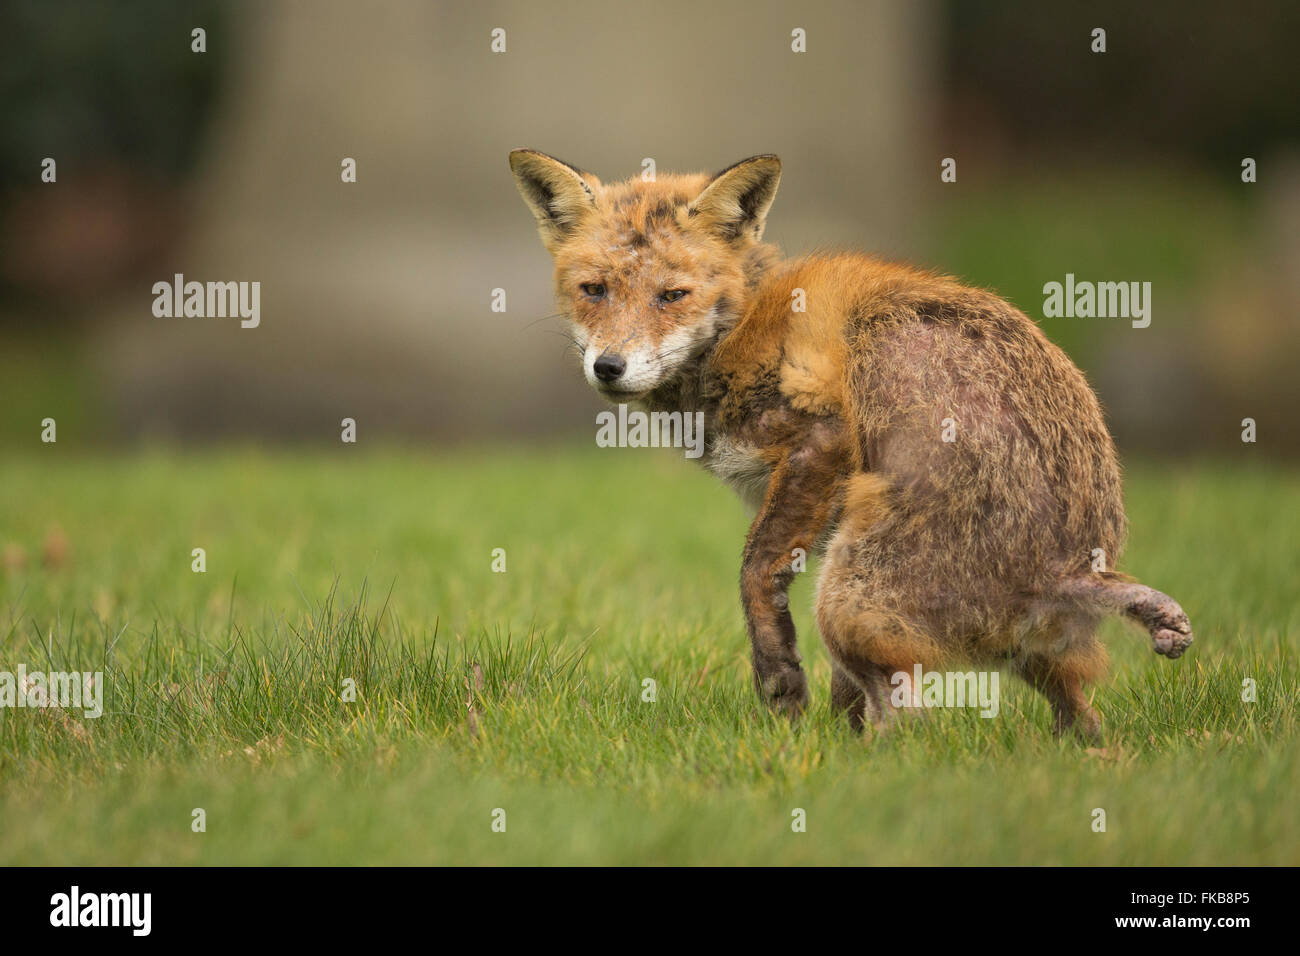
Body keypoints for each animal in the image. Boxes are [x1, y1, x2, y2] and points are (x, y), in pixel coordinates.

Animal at [508, 148, 1194, 739]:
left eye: (671, 295)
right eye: (594, 290)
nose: (609, 367)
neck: (743, 326)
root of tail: (1064, 567)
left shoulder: (822, 436)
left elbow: (754, 573)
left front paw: (783, 686)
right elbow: (840, 686)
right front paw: (828, 732)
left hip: (847, 601)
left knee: (914, 727)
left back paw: (876, 765)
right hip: (1006, 643)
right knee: (1079, 716)